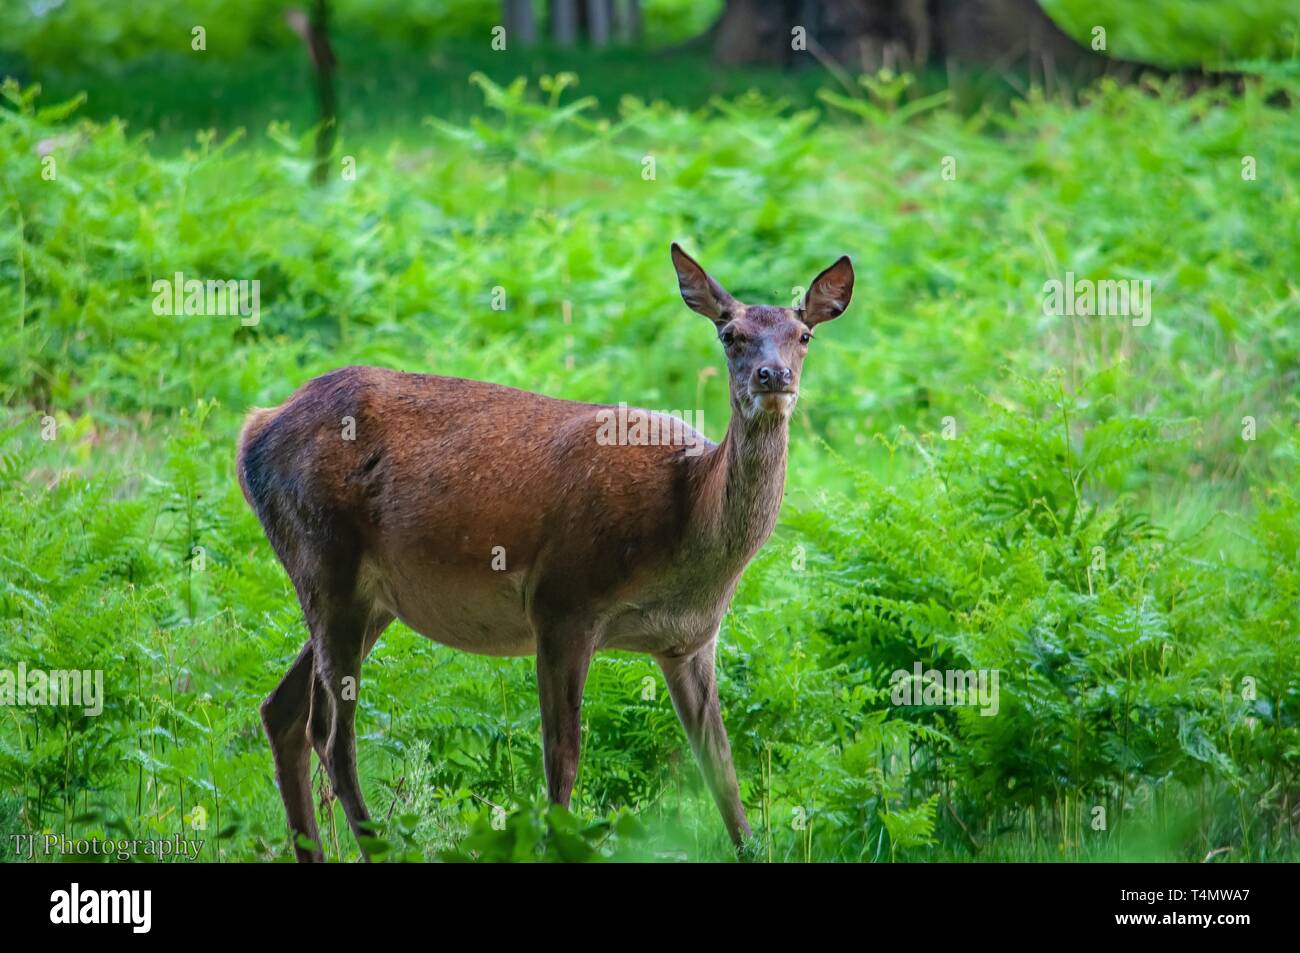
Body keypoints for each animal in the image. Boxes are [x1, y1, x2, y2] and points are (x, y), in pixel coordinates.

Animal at [237, 243, 854, 861]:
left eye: (803, 335)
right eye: (730, 334)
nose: (772, 375)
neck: (685, 528)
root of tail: (252, 431)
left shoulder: (690, 640)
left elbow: (721, 771)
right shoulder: (561, 601)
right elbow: (563, 759)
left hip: (371, 598)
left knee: (282, 711)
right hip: (323, 556)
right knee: (330, 733)